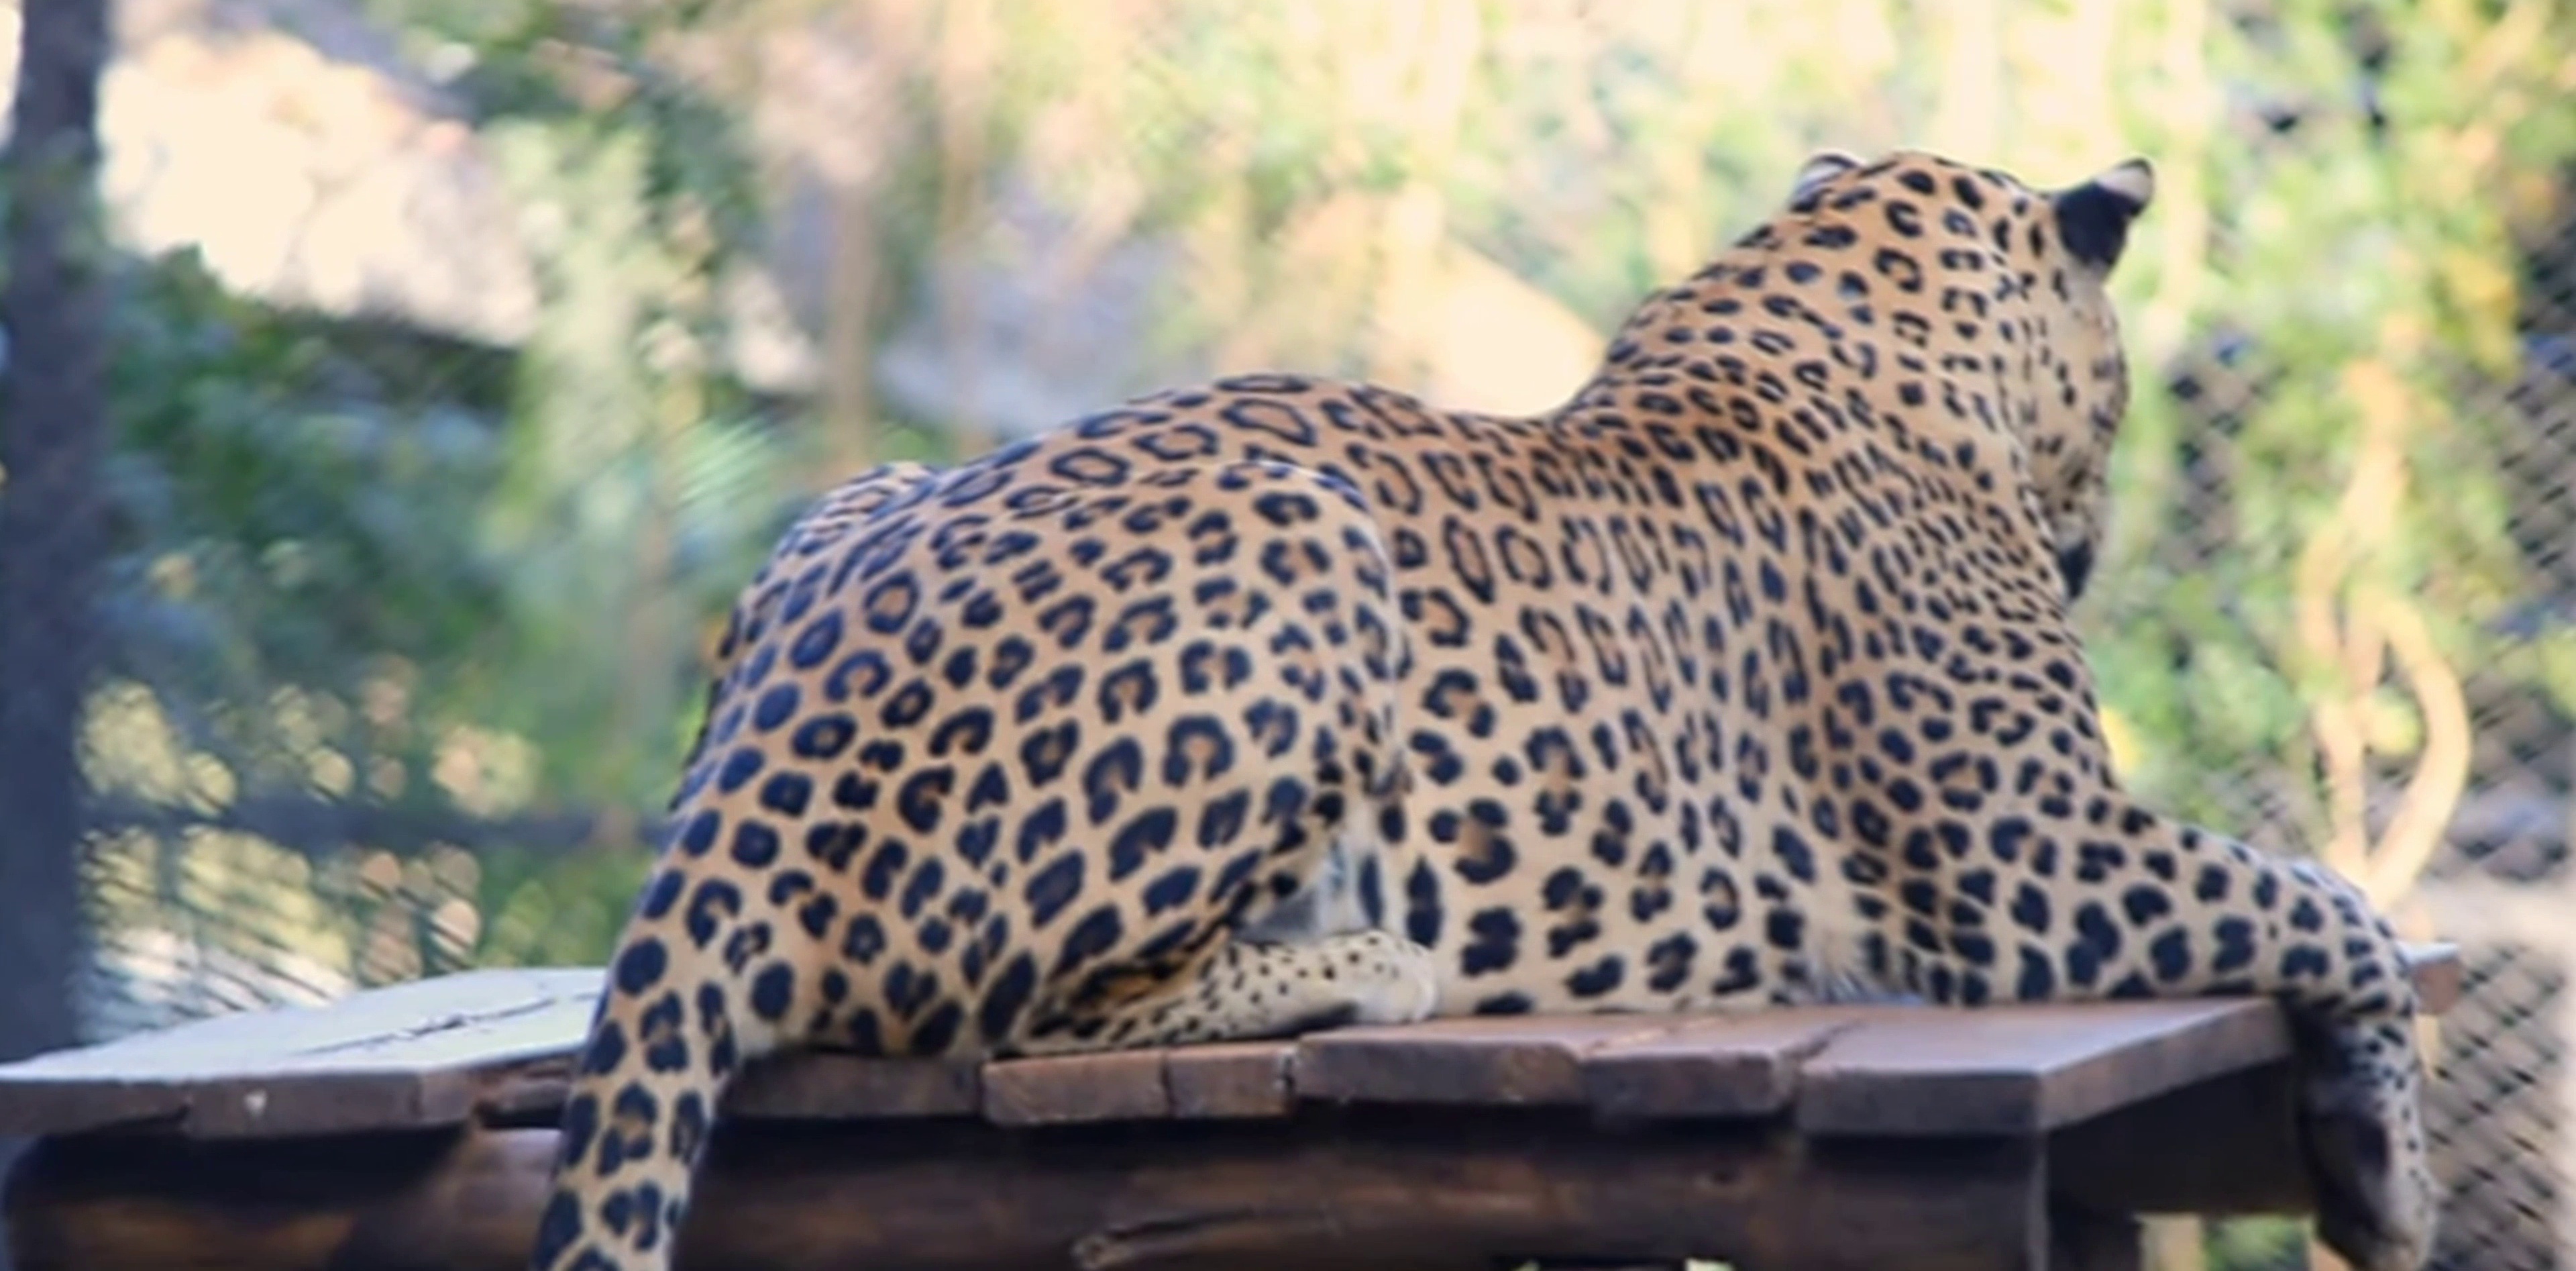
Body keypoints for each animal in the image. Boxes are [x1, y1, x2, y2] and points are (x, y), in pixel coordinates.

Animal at [529, 148, 2436, 1271]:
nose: (2096, 538)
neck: (1826, 316)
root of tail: (734, 797)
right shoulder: (2027, 864)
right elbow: (2330, 899)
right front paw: (2386, 1176)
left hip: (853, 498)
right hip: (1307, 530)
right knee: (1011, 1021)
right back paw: (1368, 959)